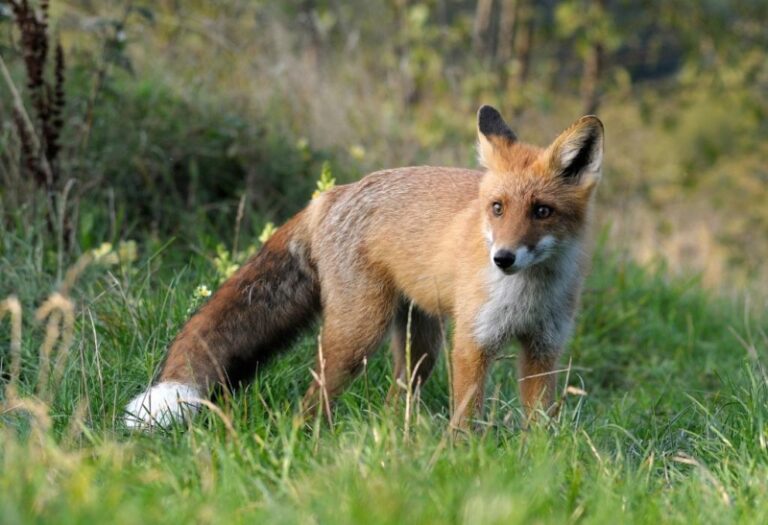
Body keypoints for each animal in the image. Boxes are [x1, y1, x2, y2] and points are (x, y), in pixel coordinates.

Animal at [125, 105, 604, 431]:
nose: (502, 258)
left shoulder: (543, 348)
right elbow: (465, 419)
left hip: (420, 347)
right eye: (498, 208)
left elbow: (540, 424)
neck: (528, 295)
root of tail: (331, 195)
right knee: (313, 398)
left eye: (542, 211)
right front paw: (461, 458)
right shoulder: (473, 342)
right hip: (358, 337)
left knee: (397, 398)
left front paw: (538, 464)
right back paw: (307, 441)